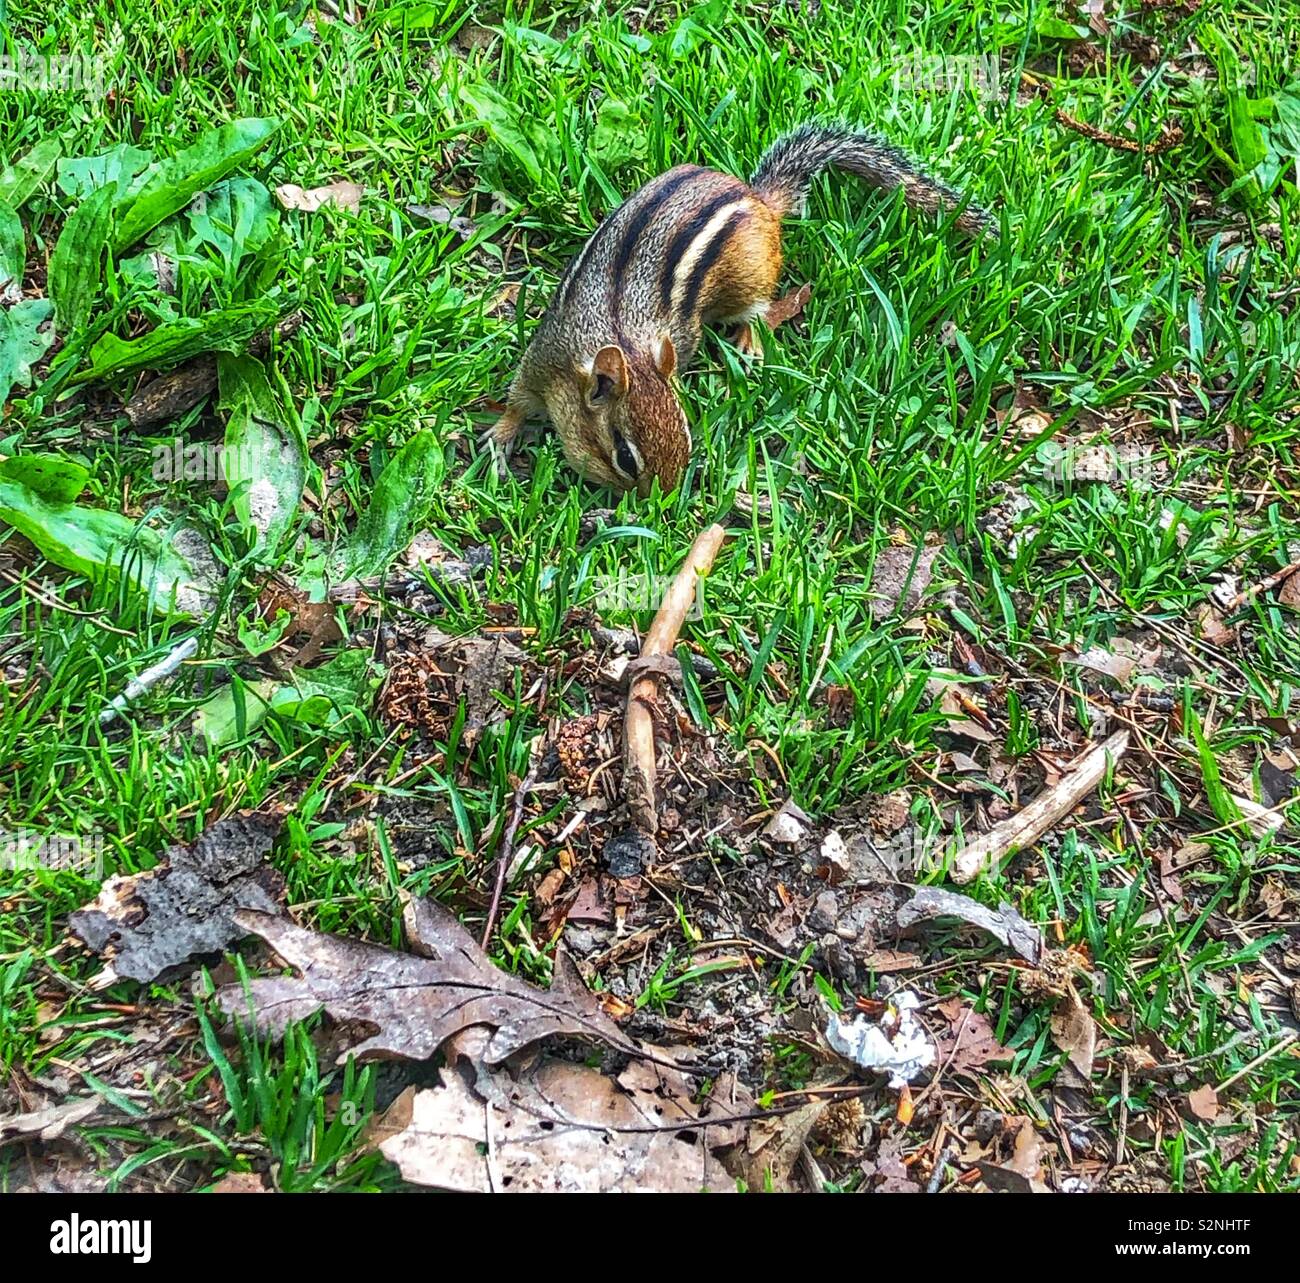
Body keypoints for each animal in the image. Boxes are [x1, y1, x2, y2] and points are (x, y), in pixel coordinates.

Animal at [487, 122, 993, 496]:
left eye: (687, 432)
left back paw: (749, 342)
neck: (616, 339)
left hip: (752, 280)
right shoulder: (543, 357)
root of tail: (760, 199)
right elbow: (517, 397)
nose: (660, 504)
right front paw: (500, 435)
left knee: (760, 310)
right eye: (625, 458)